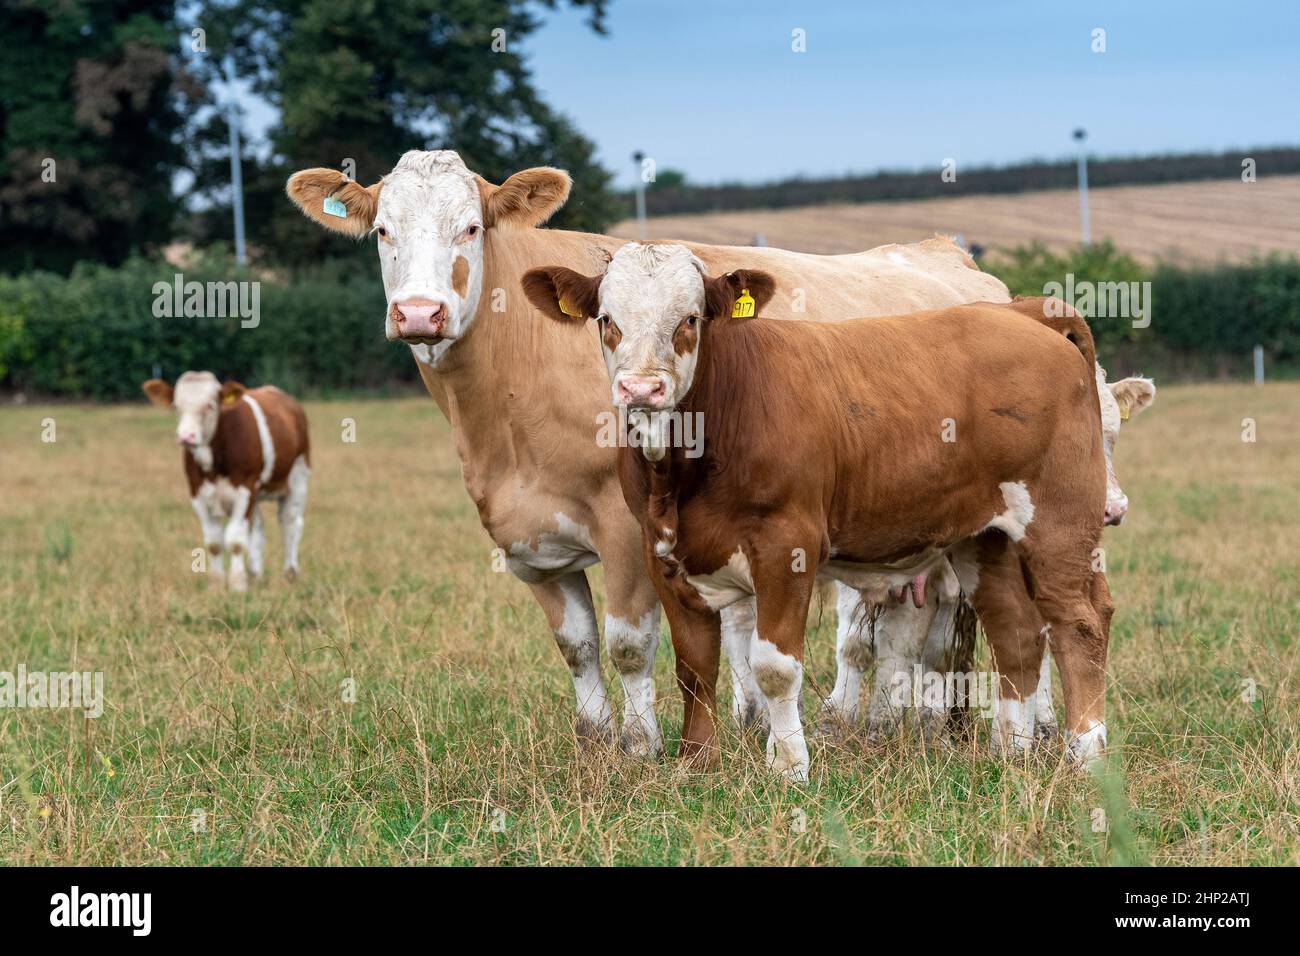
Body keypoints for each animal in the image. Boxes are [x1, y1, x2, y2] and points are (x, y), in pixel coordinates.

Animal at [142, 372, 311, 592]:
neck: (214, 461)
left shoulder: (244, 491)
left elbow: (236, 541)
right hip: (256, 494)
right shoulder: (197, 494)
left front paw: (238, 585)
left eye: (210, 405)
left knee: (290, 523)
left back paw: (290, 574)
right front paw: (216, 585)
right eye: (176, 406)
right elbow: (214, 543)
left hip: (298, 475)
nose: (186, 436)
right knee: (257, 526)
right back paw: (255, 574)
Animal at [285, 149, 1011, 760]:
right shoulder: (531, 542)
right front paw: (596, 739)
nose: (419, 315)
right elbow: (576, 644)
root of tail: (947, 253)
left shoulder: (627, 528)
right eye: (384, 232)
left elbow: (630, 645)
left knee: (926, 626)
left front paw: (642, 745)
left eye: (469, 228)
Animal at [522, 243, 1113, 780]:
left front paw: (788, 767)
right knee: (1015, 631)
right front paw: (696, 762)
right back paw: (1011, 752)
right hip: (984, 538)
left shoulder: (787, 545)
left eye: (689, 318)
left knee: (1079, 625)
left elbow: (775, 668)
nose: (641, 387)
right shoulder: (661, 552)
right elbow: (694, 665)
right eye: (606, 320)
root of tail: (1020, 314)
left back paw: (1085, 755)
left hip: (1059, 523)